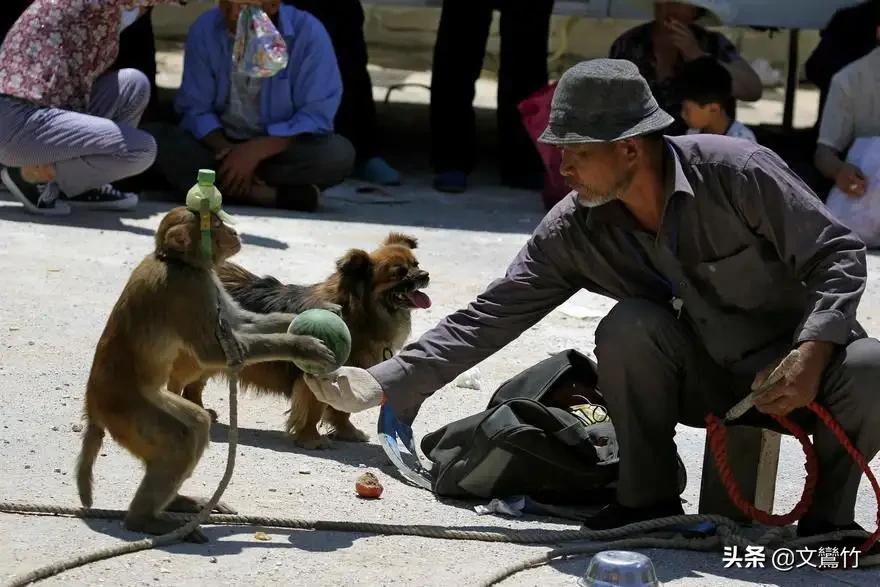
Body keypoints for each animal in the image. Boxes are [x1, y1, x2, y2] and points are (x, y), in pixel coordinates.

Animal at [75, 207, 335, 542]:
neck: (177, 261)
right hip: (128, 411)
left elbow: (241, 323)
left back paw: (175, 503)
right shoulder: (189, 289)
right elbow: (217, 352)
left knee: (195, 425)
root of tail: (93, 402)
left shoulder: (207, 280)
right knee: (185, 435)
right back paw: (144, 520)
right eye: (215, 224)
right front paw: (303, 346)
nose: (235, 233)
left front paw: (316, 314)